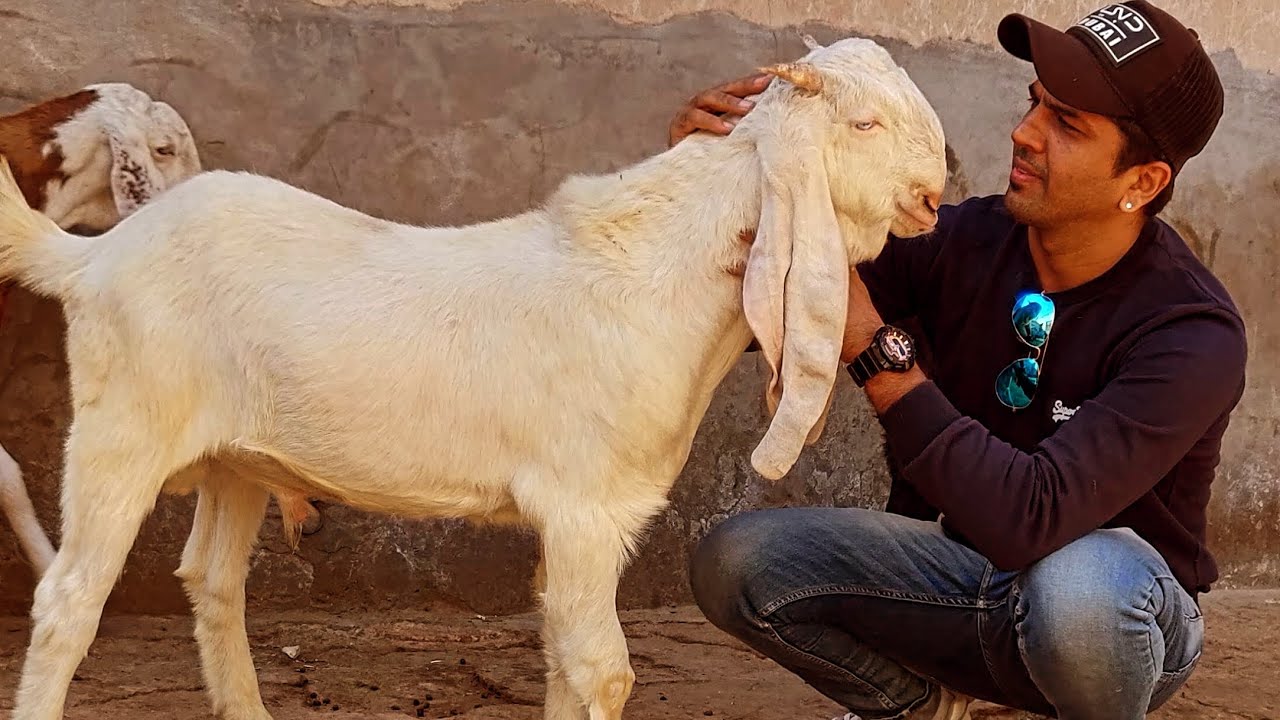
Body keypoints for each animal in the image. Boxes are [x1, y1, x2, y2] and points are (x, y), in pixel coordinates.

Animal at [0, 37, 945, 720]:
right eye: (864, 125)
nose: (938, 191)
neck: (654, 275)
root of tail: (95, 258)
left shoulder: (572, 521)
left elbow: (564, 659)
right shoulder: (585, 508)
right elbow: (602, 670)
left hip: (237, 457)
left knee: (210, 580)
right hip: (122, 429)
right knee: (69, 600)